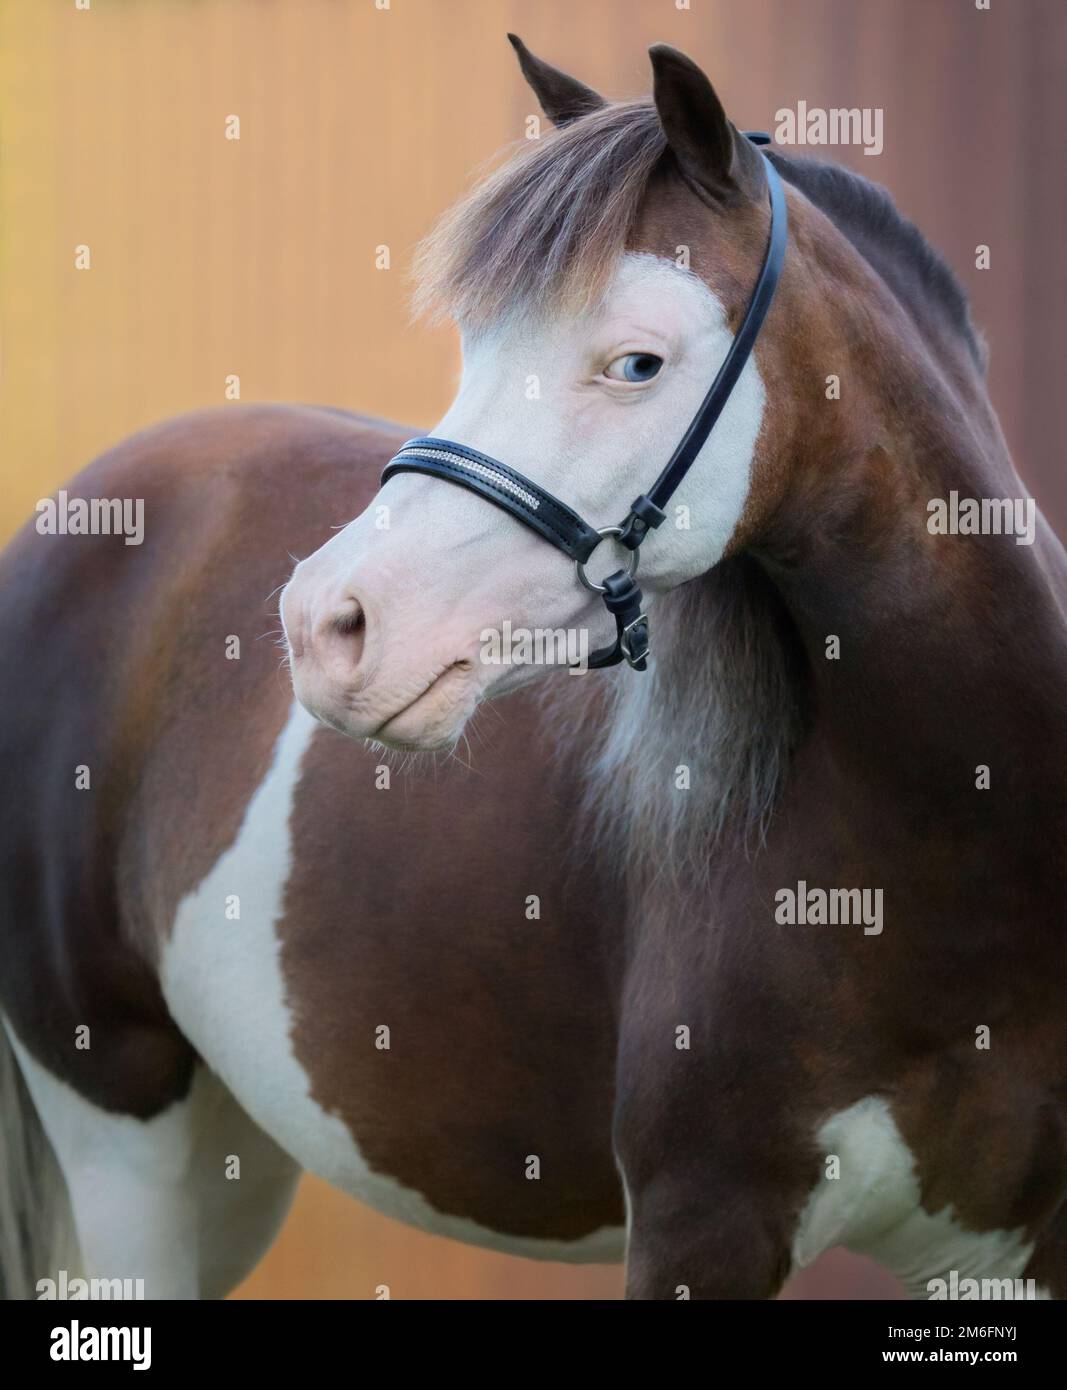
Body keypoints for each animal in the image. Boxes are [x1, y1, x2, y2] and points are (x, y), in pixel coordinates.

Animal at [2, 36, 1065, 1301]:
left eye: (636, 362)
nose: (323, 623)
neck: (954, 852)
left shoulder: (1014, 1246)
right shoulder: (701, 1223)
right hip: (123, 1136)